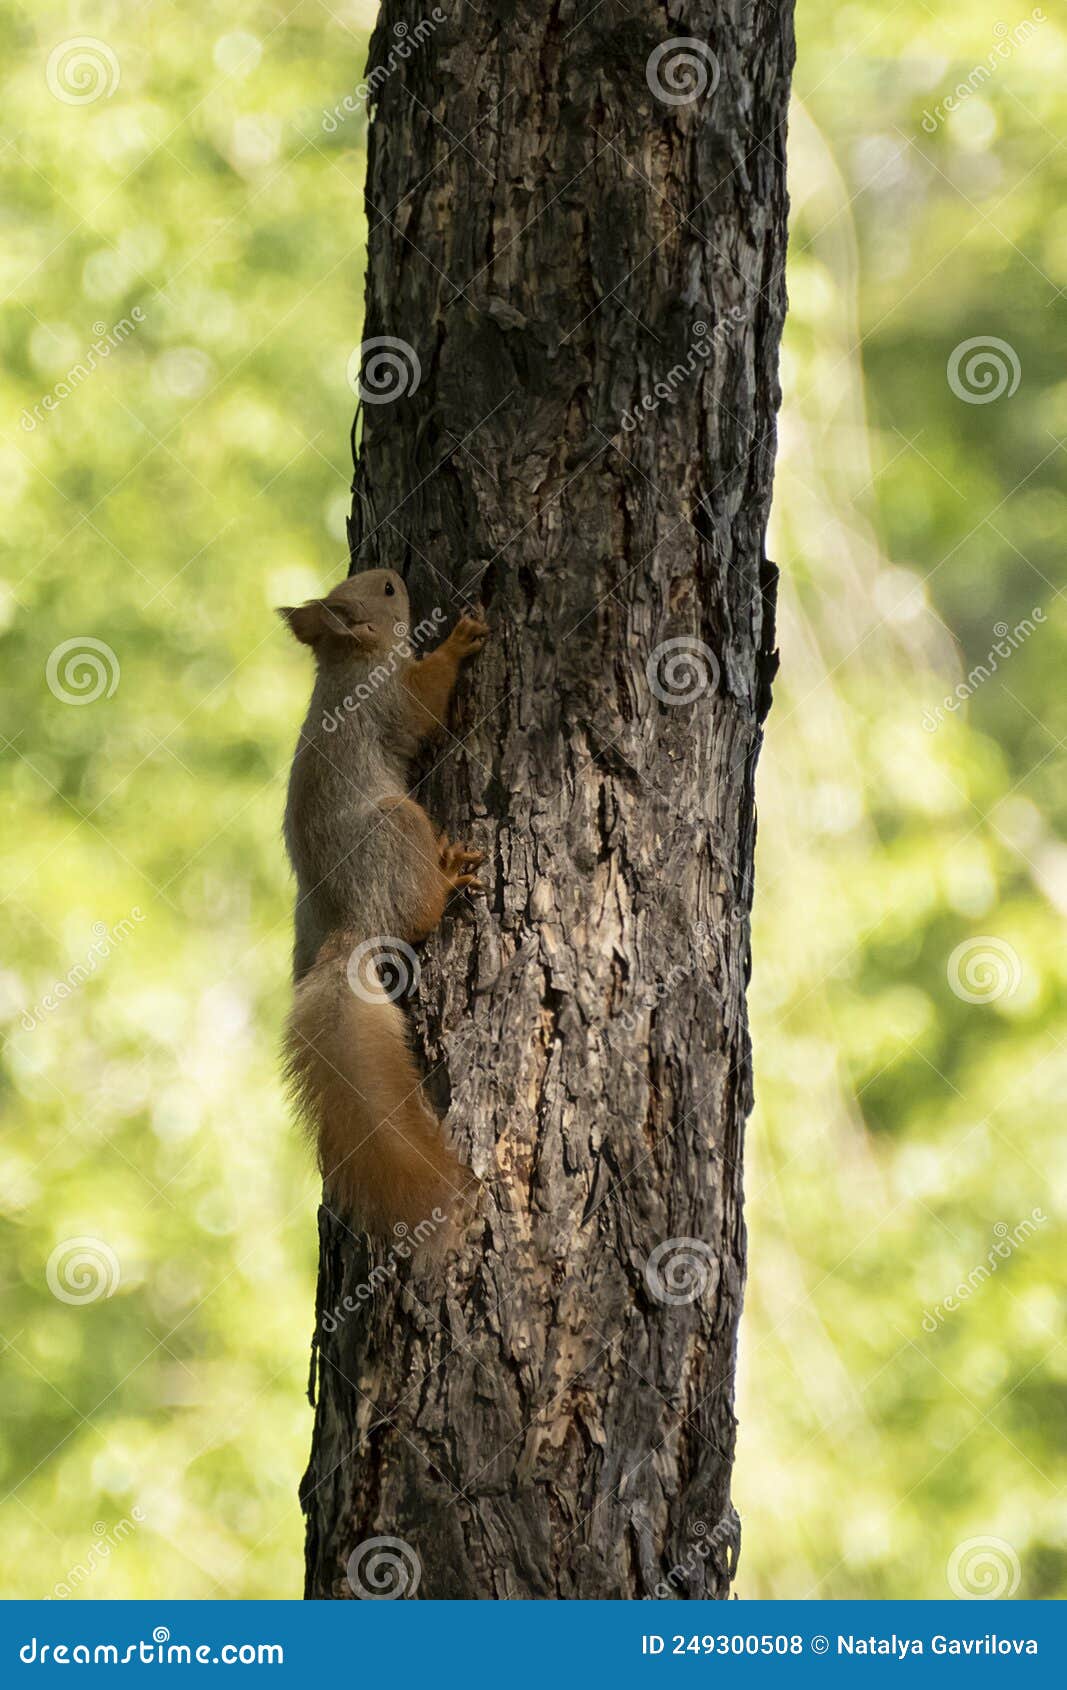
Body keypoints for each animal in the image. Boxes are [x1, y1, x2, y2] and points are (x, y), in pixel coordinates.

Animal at [277, 568, 490, 1240]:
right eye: (390, 591)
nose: (396, 570)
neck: (349, 664)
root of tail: (354, 922)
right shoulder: (389, 701)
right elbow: (426, 700)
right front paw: (459, 639)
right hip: (399, 823)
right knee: (418, 915)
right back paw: (447, 878)